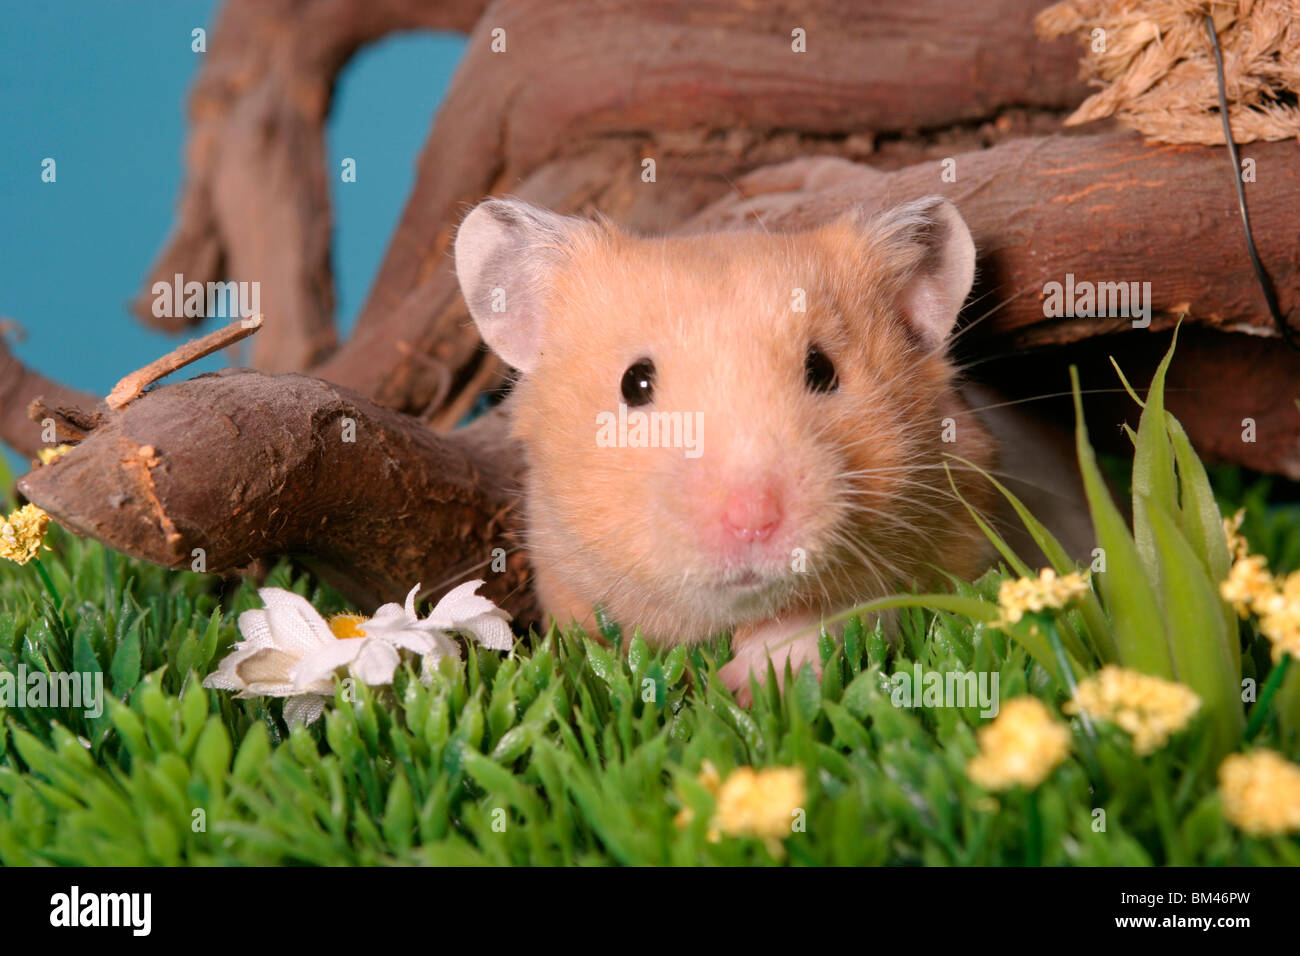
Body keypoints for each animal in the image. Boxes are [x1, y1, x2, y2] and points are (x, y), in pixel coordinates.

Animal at [454, 196, 1085, 703]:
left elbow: (858, 615)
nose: (752, 522)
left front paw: (742, 684)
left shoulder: (963, 543)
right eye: (635, 383)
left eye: (823, 370)